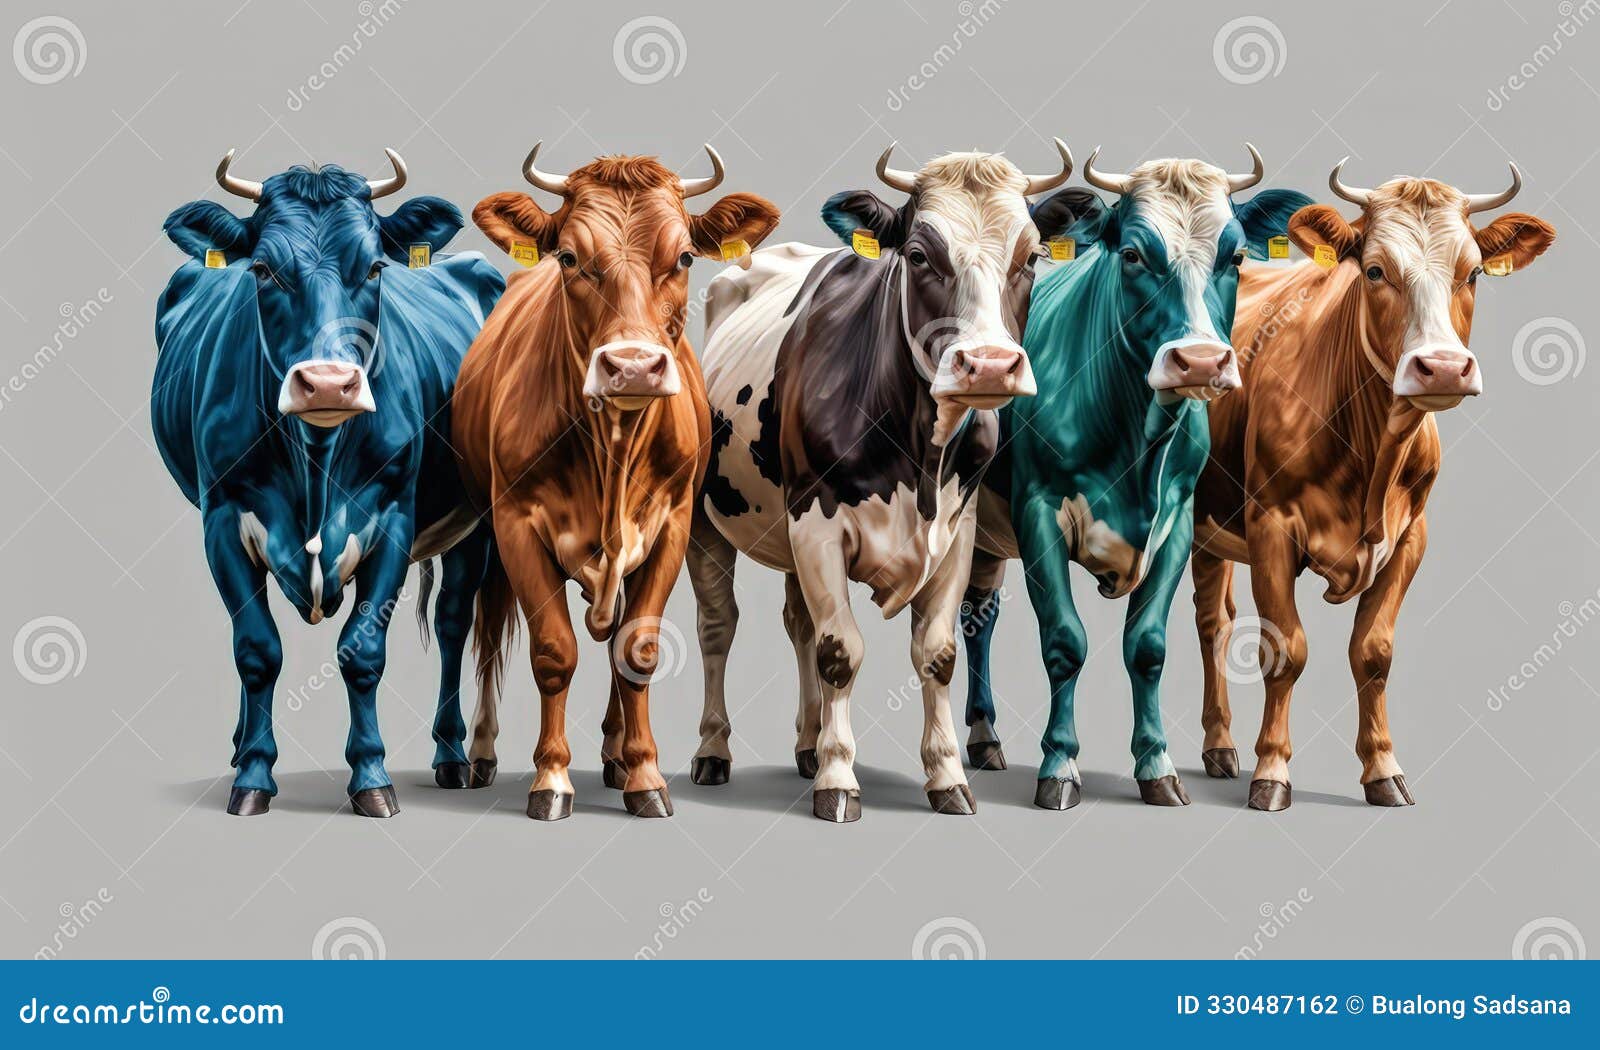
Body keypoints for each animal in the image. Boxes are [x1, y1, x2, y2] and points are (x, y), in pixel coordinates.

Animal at [153, 150, 505, 817]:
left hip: (475, 521)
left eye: (373, 267)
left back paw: (452, 756)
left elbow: (361, 651)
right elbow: (256, 649)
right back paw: (238, 744)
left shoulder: (393, 518)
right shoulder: (220, 520)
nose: (327, 384)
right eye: (263, 269)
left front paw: (371, 776)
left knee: (453, 621)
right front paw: (253, 775)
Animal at [455, 144, 780, 820]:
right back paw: (481, 753)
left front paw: (645, 775)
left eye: (683, 258)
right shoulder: (515, 523)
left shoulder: (673, 525)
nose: (632, 366)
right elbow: (553, 652)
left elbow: (637, 651)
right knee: (490, 634)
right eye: (569, 257)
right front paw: (551, 779)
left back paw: (613, 754)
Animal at [688, 143, 1076, 822]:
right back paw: (714, 751)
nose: (989, 366)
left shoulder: (957, 533)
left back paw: (807, 744)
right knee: (719, 627)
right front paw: (839, 781)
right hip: (707, 523)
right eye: (918, 256)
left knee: (798, 624)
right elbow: (840, 652)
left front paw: (947, 776)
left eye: (1033, 257)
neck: (919, 453)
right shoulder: (816, 525)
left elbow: (938, 654)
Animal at [959, 147, 1313, 810]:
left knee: (980, 614)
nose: (1200, 361)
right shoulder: (1038, 510)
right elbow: (1065, 642)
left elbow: (1147, 646)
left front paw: (1157, 766)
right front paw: (1059, 765)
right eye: (1131, 255)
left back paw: (985, 739)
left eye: (1236, 257)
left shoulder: (1178, 520)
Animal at [1192, 162, 1555, 810]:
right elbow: (1285, 650)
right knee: (1211, 625)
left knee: (1217, 619)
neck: (1372, 459)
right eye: (1376, 270)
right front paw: (1272, 772)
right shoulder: (1270, 528)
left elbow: (1374, 653)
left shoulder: (1411, 536)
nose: (1442, 368)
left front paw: (1383, 769)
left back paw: (1219, 747)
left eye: (1474, 273)